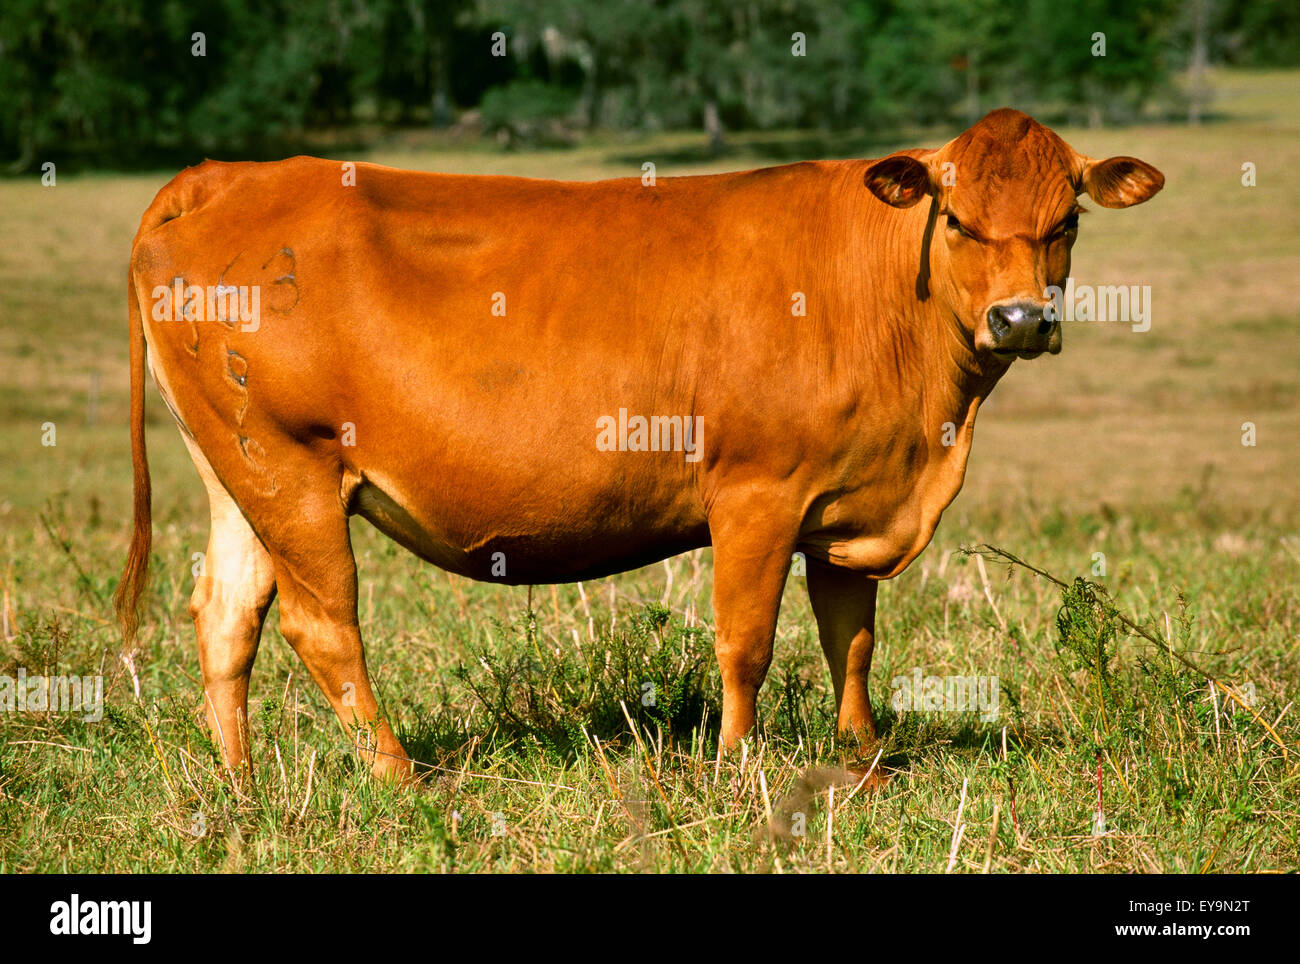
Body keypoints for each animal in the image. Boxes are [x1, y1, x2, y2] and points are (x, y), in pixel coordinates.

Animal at [114, 108, 1163, 782]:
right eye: (956, 218)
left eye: (1066, 221)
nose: (1021, 319)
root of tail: (234, 174)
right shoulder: (757, 491)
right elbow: (747, 641)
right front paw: (736, 766)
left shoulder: (851, 503)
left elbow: (853, 638)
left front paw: (863, 758)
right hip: (291, 466)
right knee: (321, 623)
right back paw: (399, 775)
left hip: (240, 470)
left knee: (226, 614)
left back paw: (242, 791)